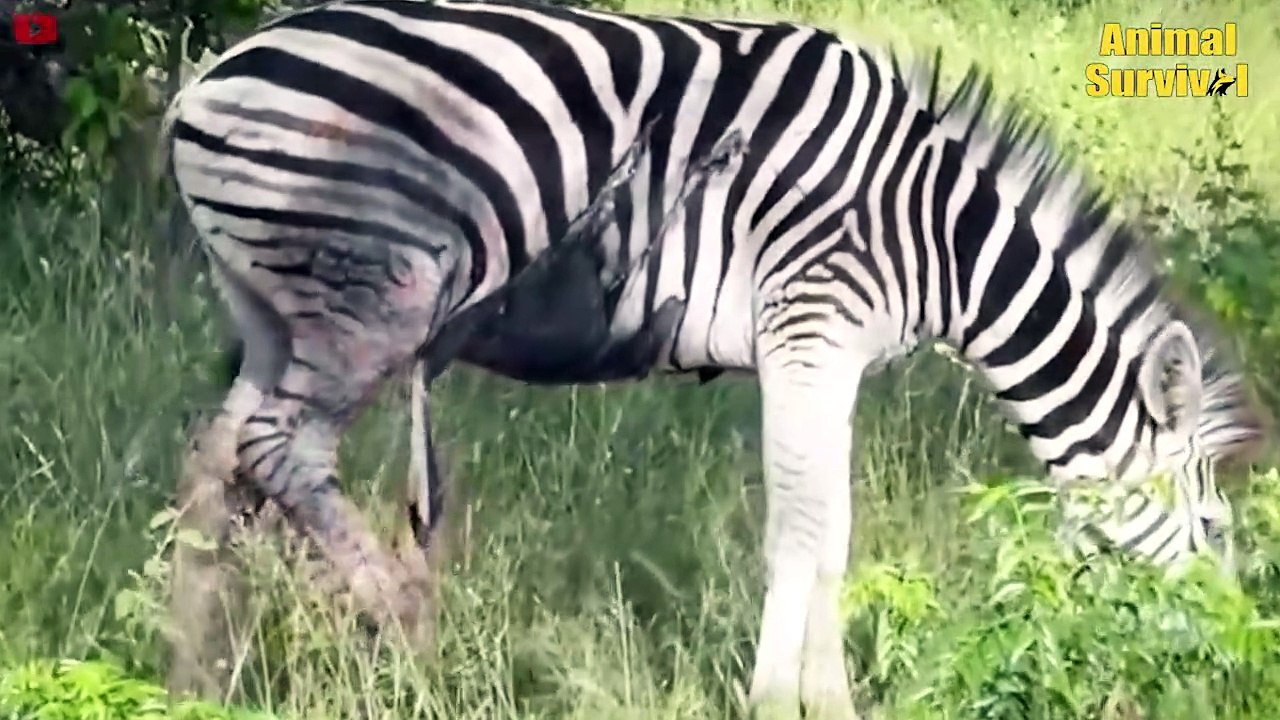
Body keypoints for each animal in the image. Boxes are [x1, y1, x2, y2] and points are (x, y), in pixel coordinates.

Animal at [160, 0, 1266, 716]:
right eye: (1212, 528)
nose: (1226, 667)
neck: (943, 236)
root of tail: (204, 83)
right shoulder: (810, 323)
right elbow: (806, 527)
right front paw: (790, 700)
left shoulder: (830, 348)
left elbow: (831, 530)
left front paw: (821, 696)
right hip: (370, 293)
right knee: (280, 451)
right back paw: (413, 629)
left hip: (272, 305)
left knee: (217, 463)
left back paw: (189, 677)